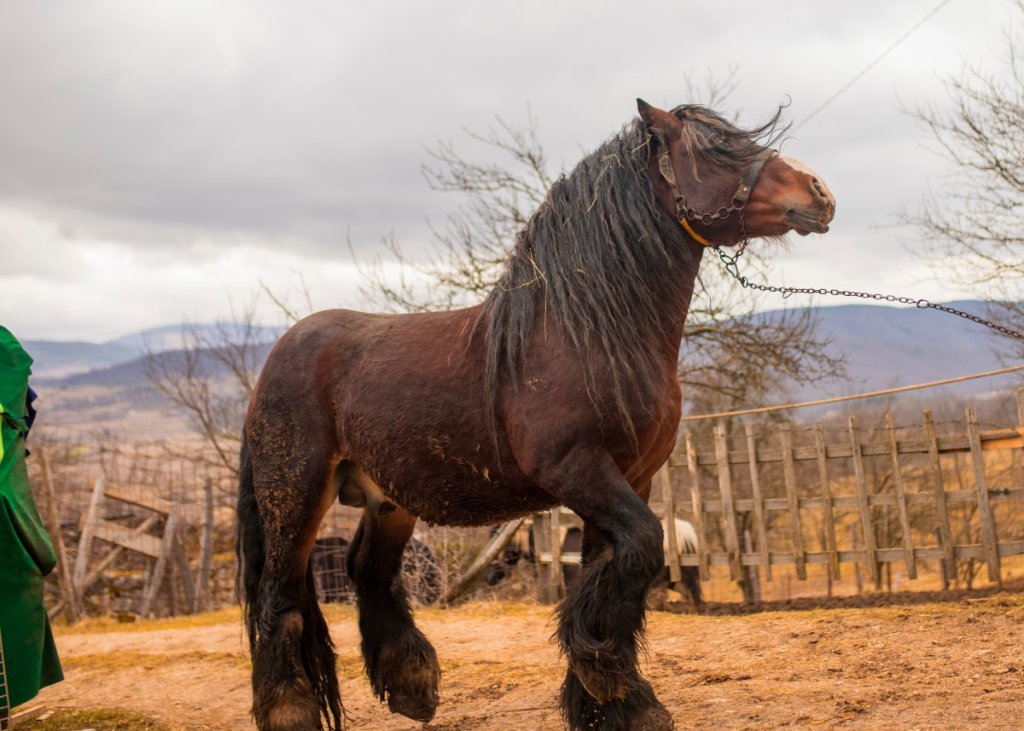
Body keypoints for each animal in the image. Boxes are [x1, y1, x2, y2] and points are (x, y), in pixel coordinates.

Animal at [236, 98, 835, 731]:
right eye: (718, 152)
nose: (819, 192)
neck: (582, 332)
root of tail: (278, 356)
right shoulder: (577, 470)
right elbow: (641, 550)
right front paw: (609, 682)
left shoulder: (631, 479)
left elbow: (617, 573)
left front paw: (614, 703)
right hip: (296, 494)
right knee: (279, 595)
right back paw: (290, 710)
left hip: (386, 499)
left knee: (366, 573)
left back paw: (411, 686)